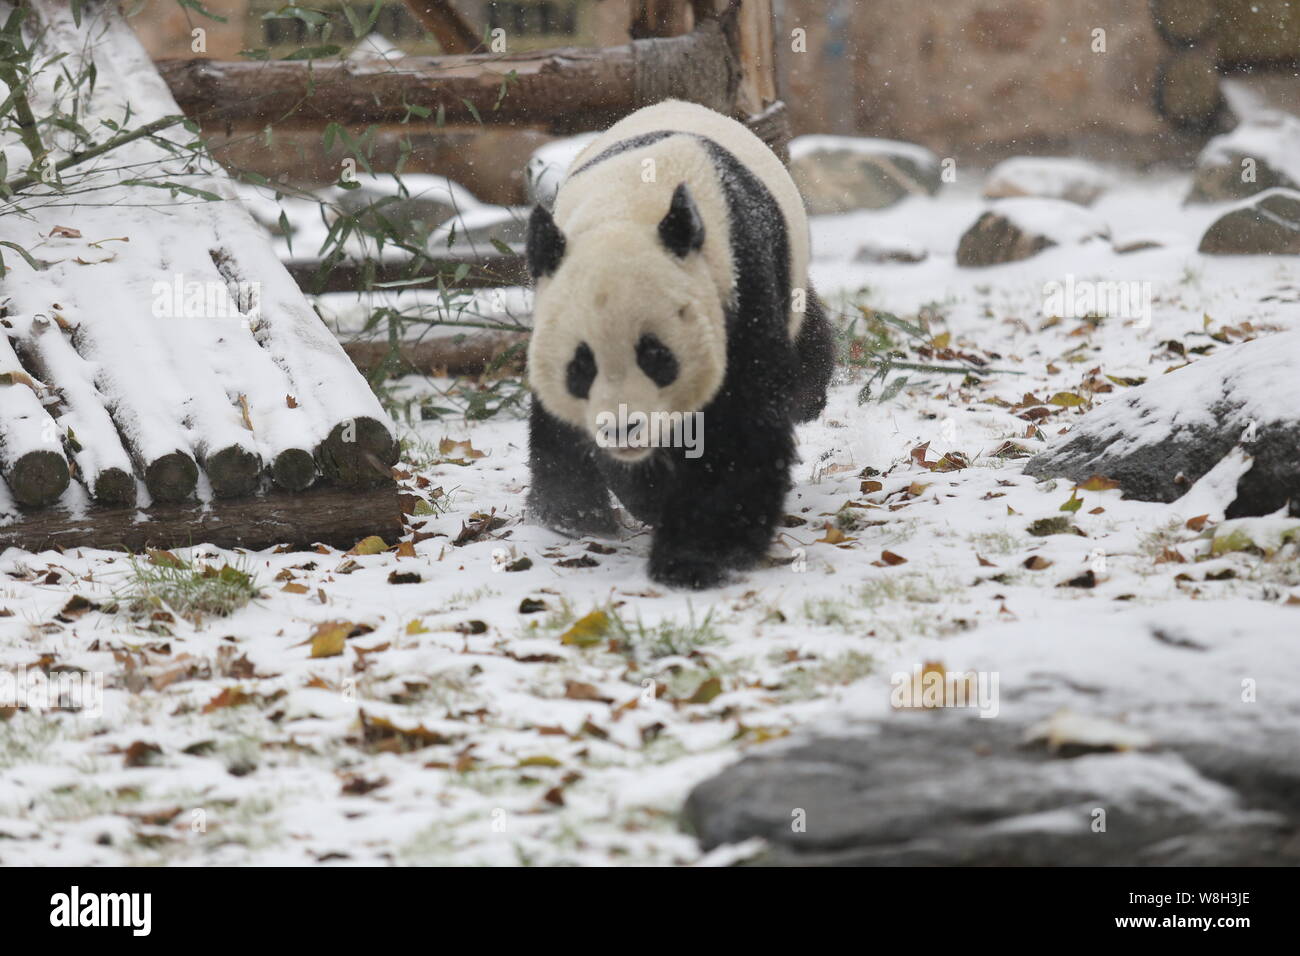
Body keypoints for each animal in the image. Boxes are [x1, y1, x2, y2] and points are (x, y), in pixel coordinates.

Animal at [525, 99, 834, 589]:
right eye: (580, 366)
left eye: (656, 356)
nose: (622, 428)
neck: (627, 209)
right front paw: (645, 494)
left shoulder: (739, 288)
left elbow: (740, 432)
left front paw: (693, 557)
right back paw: (569, 515)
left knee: (807, 359)